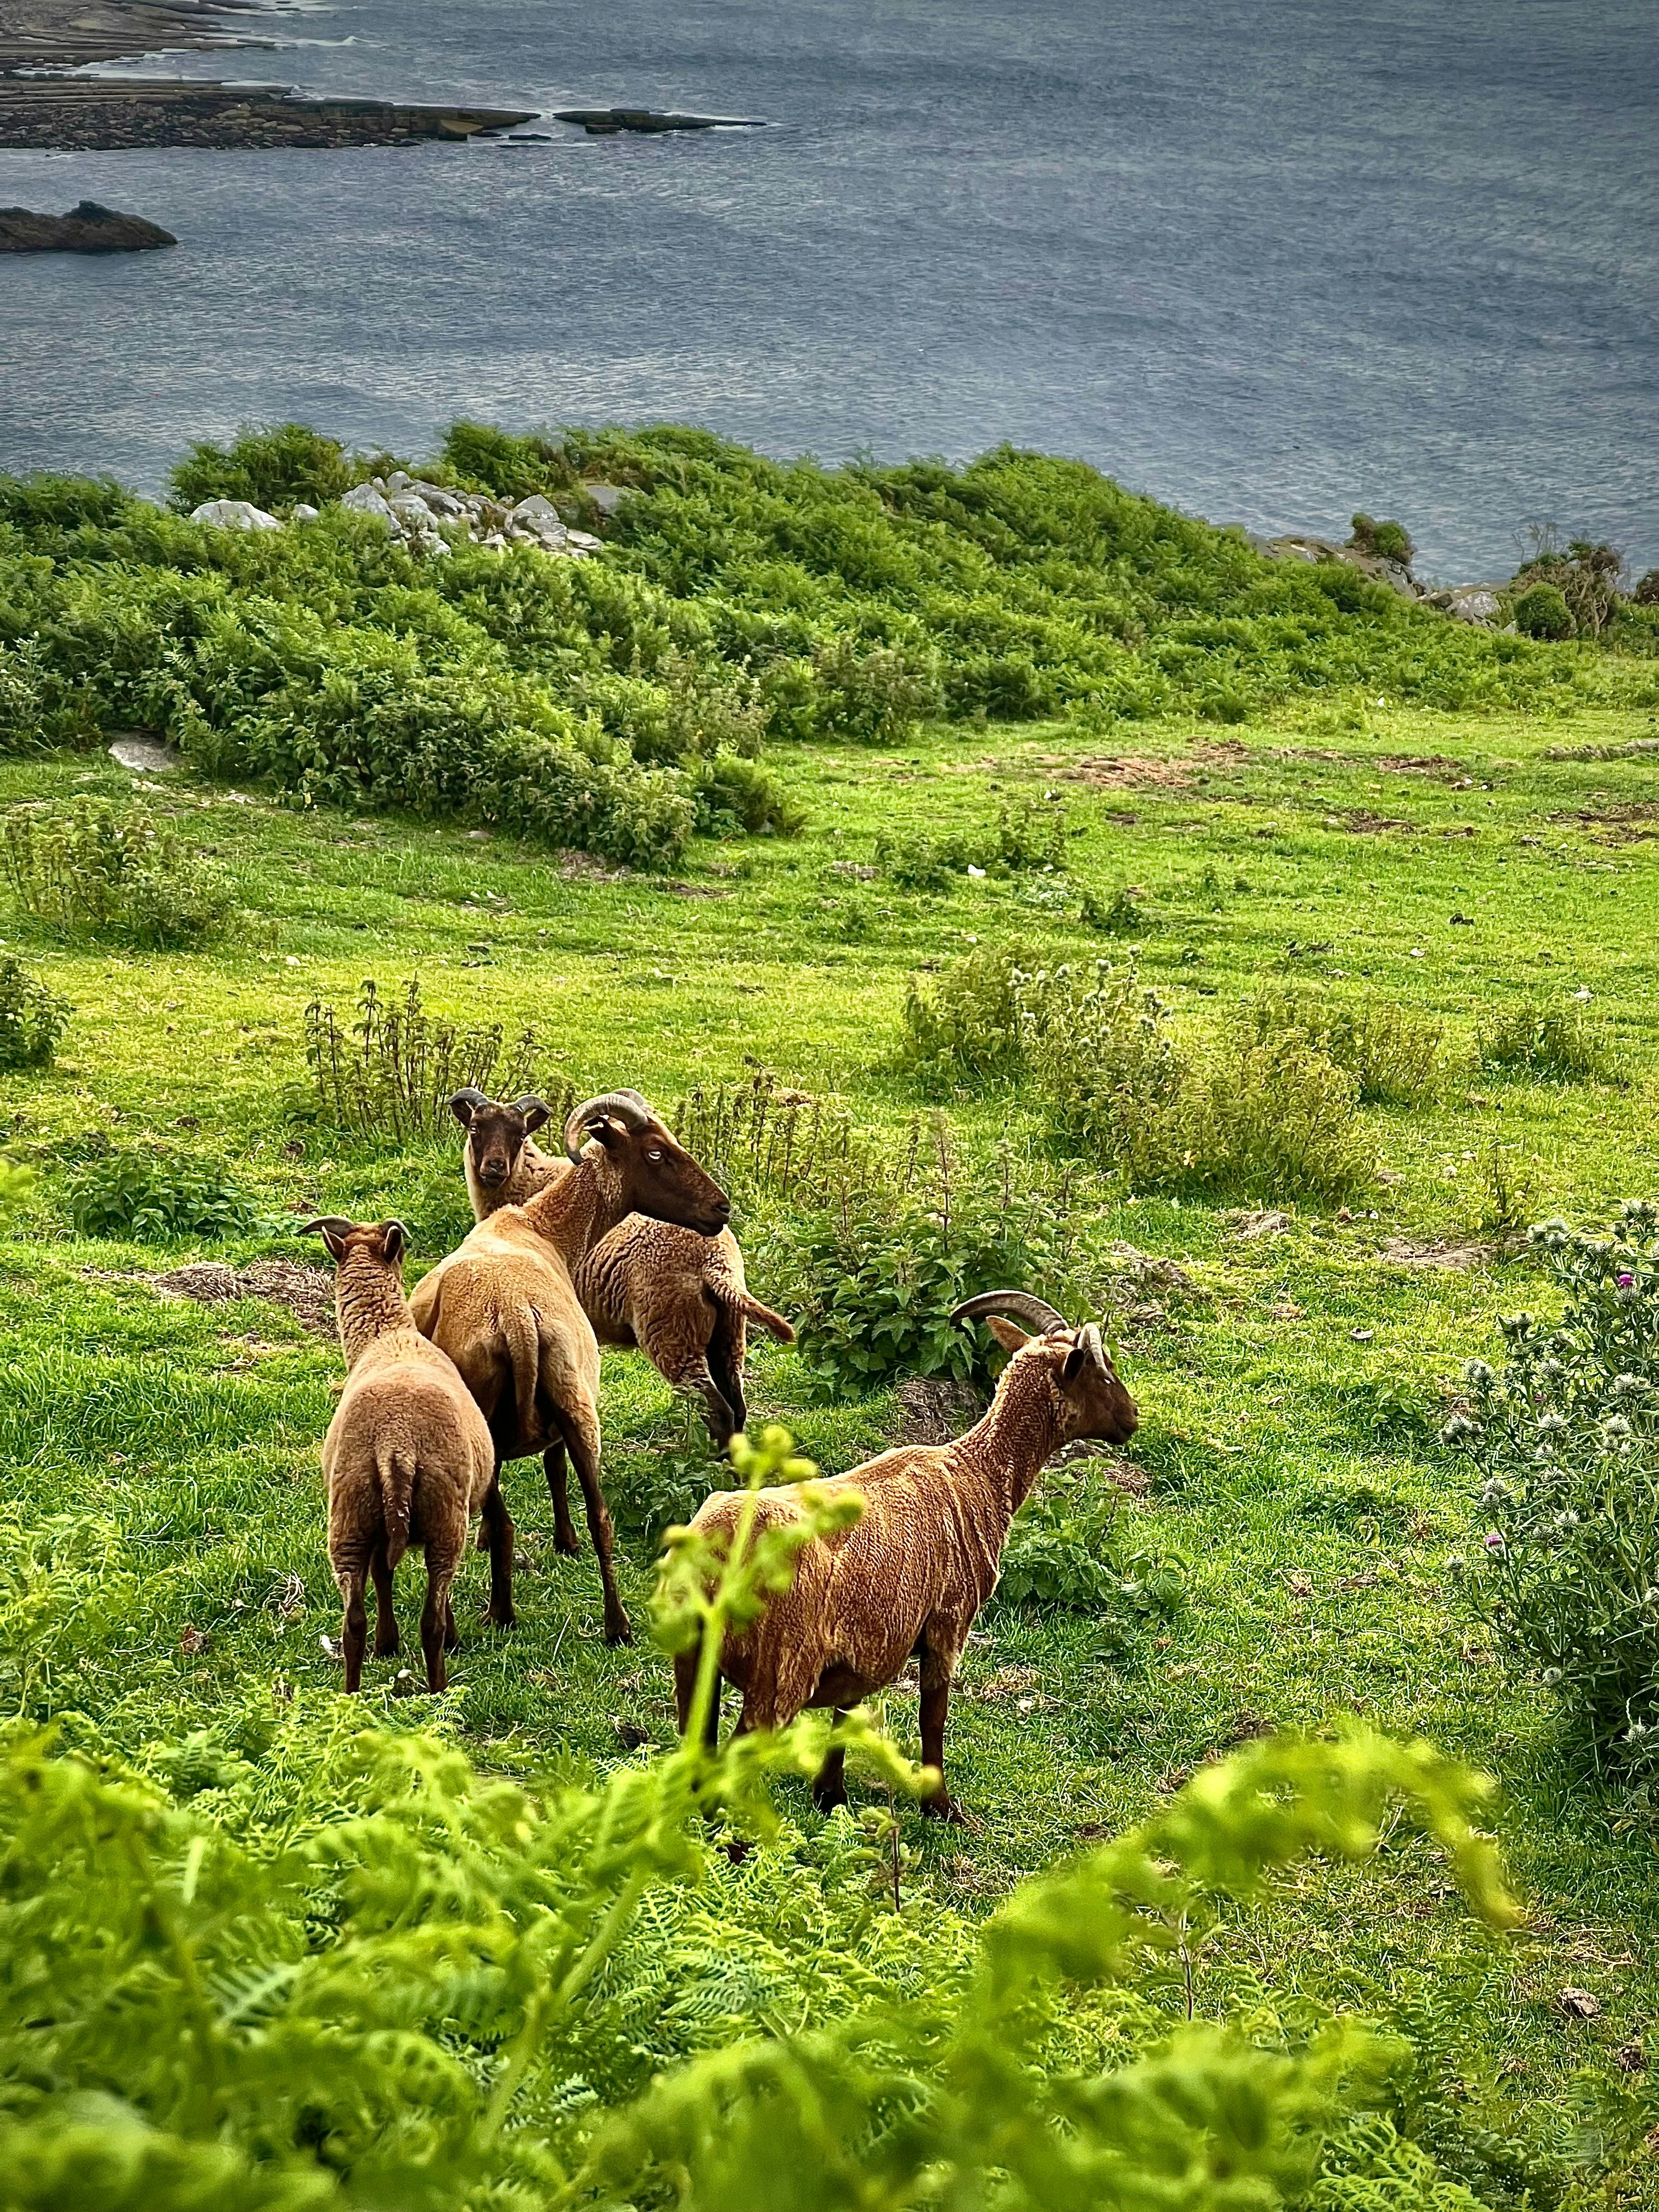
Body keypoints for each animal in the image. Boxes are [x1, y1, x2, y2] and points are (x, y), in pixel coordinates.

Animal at [302, 1216, 499, 1693]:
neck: (387, 1335)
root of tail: (397, 1442)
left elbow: (382, 1574)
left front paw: (387, 1643)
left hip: (350, 1516)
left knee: (352, 1620)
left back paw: (352, 1694)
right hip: (446, 1520)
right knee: (431, 1618)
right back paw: (439, 1690)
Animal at [410, 1090, 729, 1645]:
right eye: (656, 1153)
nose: (722, 1207)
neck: (540, 1226)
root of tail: (517, 1318)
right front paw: (566, 1542)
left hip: (491, 1418)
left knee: (506, 1519)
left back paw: (496, 1615)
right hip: (581, 1403)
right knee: (603, 1516)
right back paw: (617, 1625)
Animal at [451, 1089, 795, 1449]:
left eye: (520, 1135)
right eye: (475, 1128)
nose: (722, 1207)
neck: (535, 1186)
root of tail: (718, 1262)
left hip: (673, 1334)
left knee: (719, 1411)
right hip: (728, 1338)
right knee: (738, 1408)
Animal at [674, 1290, 1139, 1821]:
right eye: (1104, 1373)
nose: (1132, 1419)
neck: (978, 1474)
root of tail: (716, 1553)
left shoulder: (871, 1643)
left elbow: (846, 1714)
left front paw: (831, 1796)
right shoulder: (948, 1622)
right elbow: (932, 1717)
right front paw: (941, 1805)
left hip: (693, 1659)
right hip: (780, 1671)